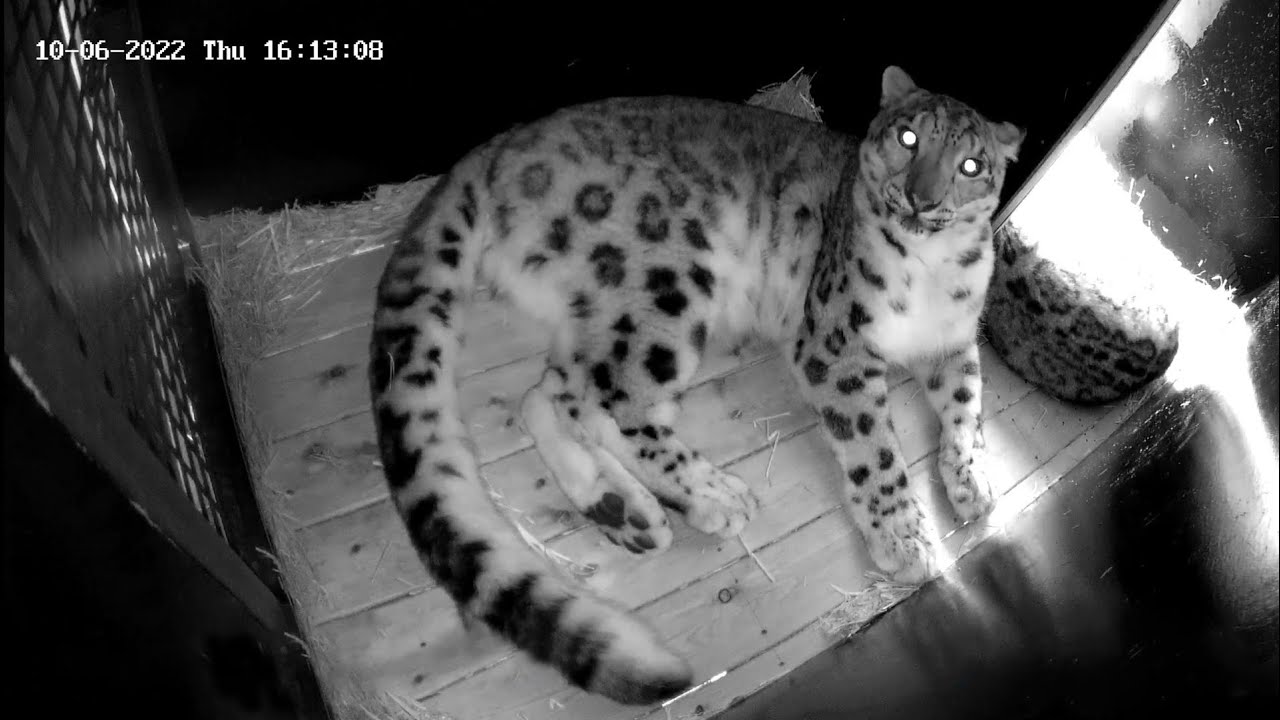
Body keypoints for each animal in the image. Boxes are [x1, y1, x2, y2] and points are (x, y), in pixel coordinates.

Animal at [369, 66, 1023, 705]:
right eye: (909, 137)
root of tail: (503, 143)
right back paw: (712, 497)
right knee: (617, 399)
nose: (922, 197)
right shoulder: (838, 347)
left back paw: (622, 509)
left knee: (555, 393)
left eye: (972, 166)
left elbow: (968, 407)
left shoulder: (952, 345)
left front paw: (972, 483)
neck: (935, 275)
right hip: (666, 287)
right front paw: (908, 544)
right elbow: (877, 452)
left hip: (600, 315)